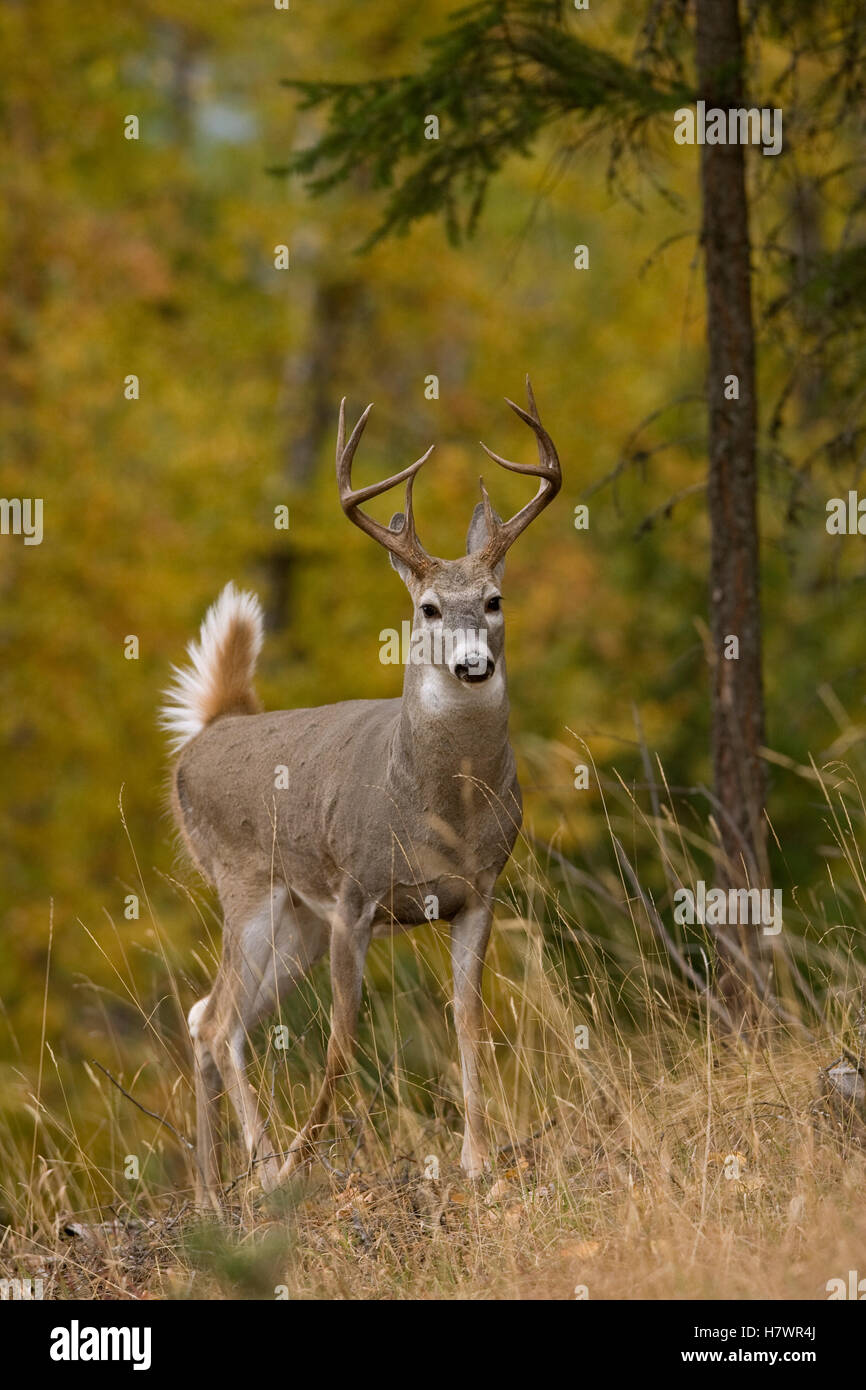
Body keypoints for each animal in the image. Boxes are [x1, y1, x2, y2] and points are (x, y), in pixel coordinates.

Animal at [161, 378, 561, 1204]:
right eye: (428, 608)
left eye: (496, 599)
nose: (472, 664)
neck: (439, 809)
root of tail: (209, 732)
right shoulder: (354, 894)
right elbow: (343, 1038)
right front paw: (297, 1164)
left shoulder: (479, 891)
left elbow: (468, 1020)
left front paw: (479, 1161)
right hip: (246, 883)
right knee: (217, 1020)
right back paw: (257, 1171)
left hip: (296, 921)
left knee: (210, 1015)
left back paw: (219, 1188)